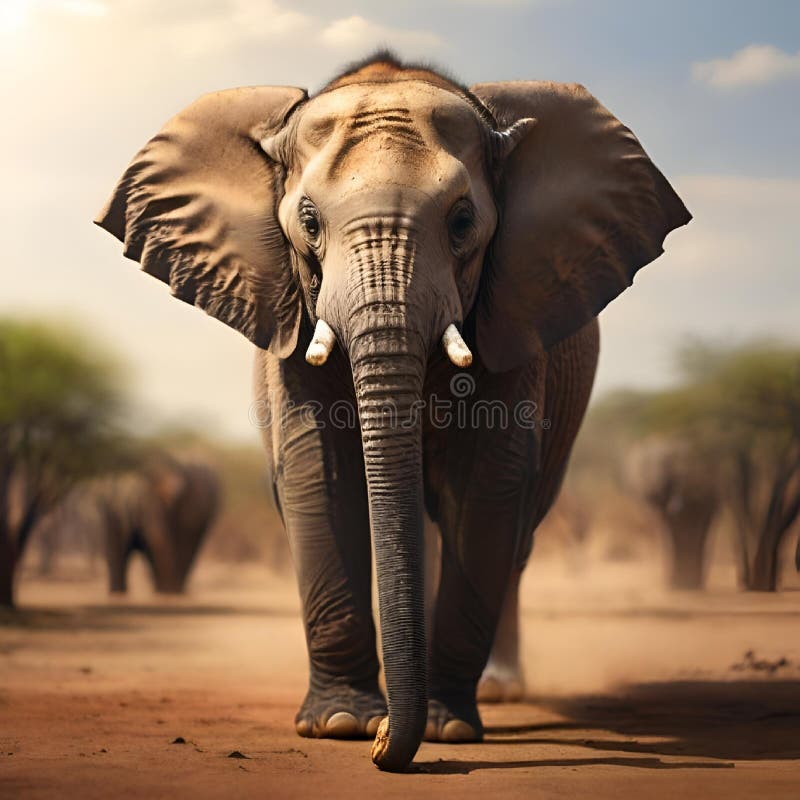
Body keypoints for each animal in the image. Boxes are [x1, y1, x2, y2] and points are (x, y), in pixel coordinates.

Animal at [96, 52, 689, 771]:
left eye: (462, 222)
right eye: (309, 222)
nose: (384, 746)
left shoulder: (513, 307)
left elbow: (485, 488)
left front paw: (445, 729)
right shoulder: (288, 313)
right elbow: (320, 474)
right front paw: (342, 724)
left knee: (516, 531)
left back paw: (498, 692)